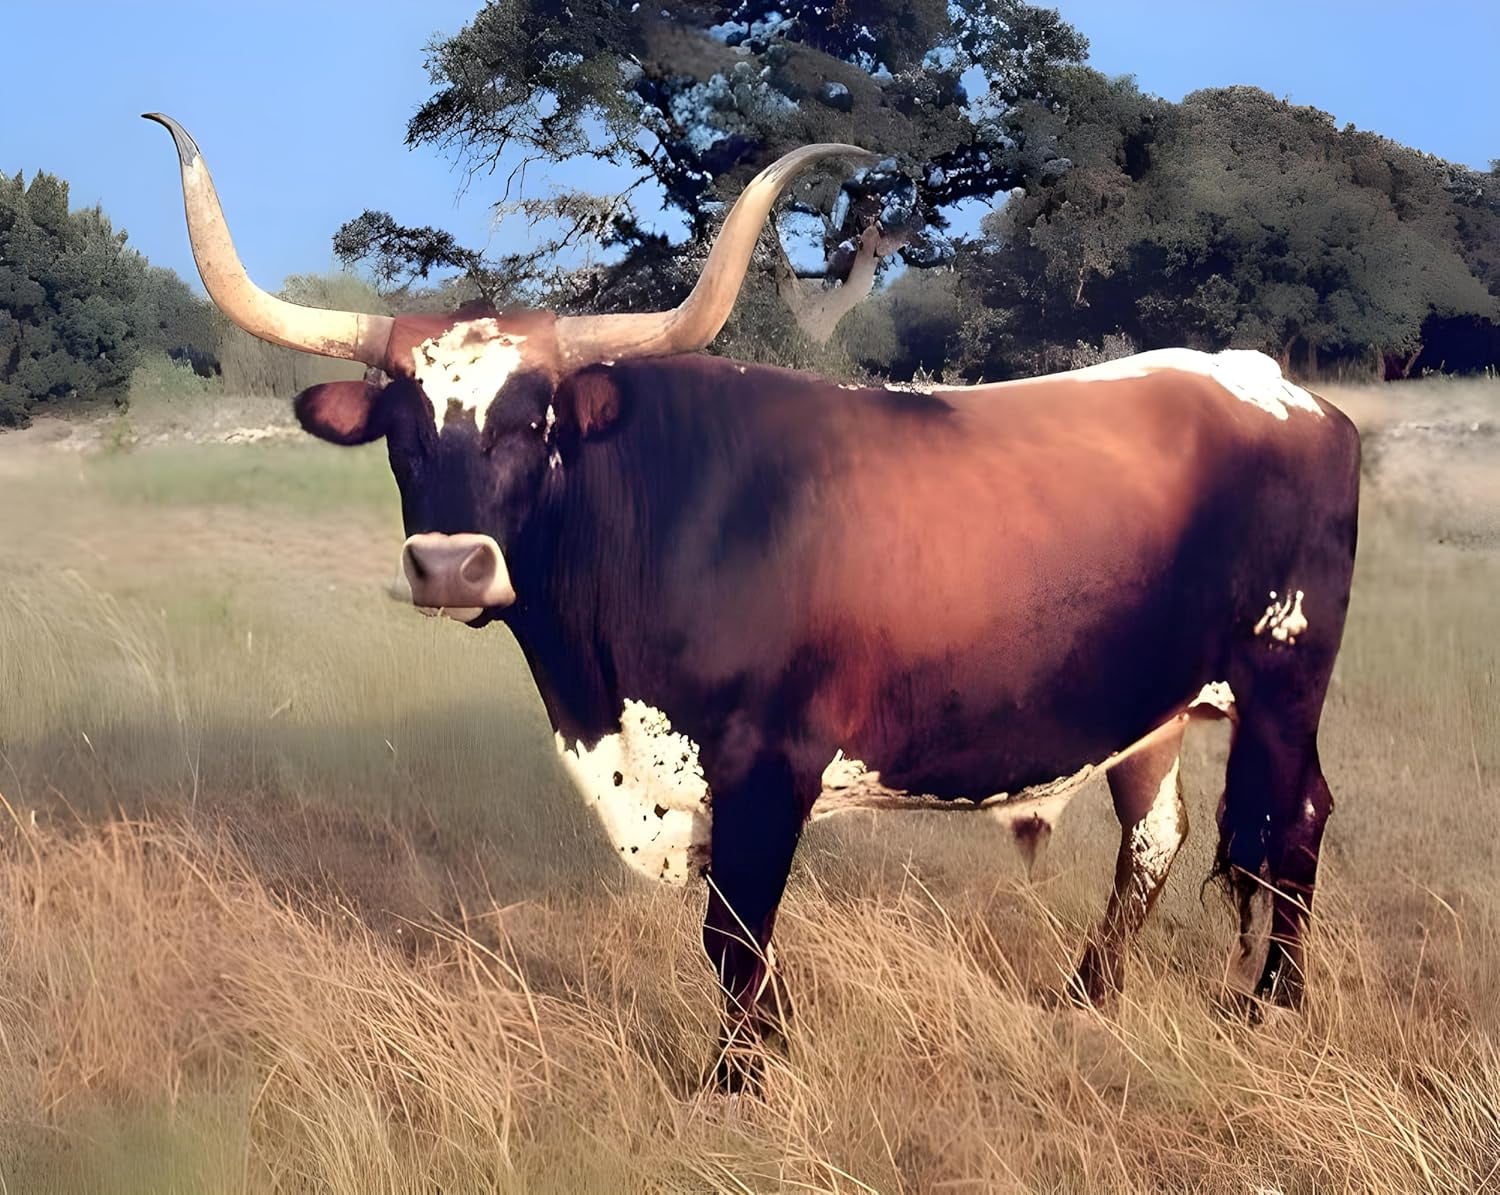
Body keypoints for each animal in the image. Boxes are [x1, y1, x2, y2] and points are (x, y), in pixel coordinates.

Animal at [146, 113, 1360, 1092]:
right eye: (402, 430)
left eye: (536, 422)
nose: (450, 566)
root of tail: (1282, 388)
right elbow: (735, 940)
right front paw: (762, 1053)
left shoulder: (770, 763)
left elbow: (735, 932)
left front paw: (737, 1076)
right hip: (1147, 706)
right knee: (1153, 838)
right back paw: (1085, 997)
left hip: (1286, 675)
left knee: (1296, 819)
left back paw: (1270, 1004)